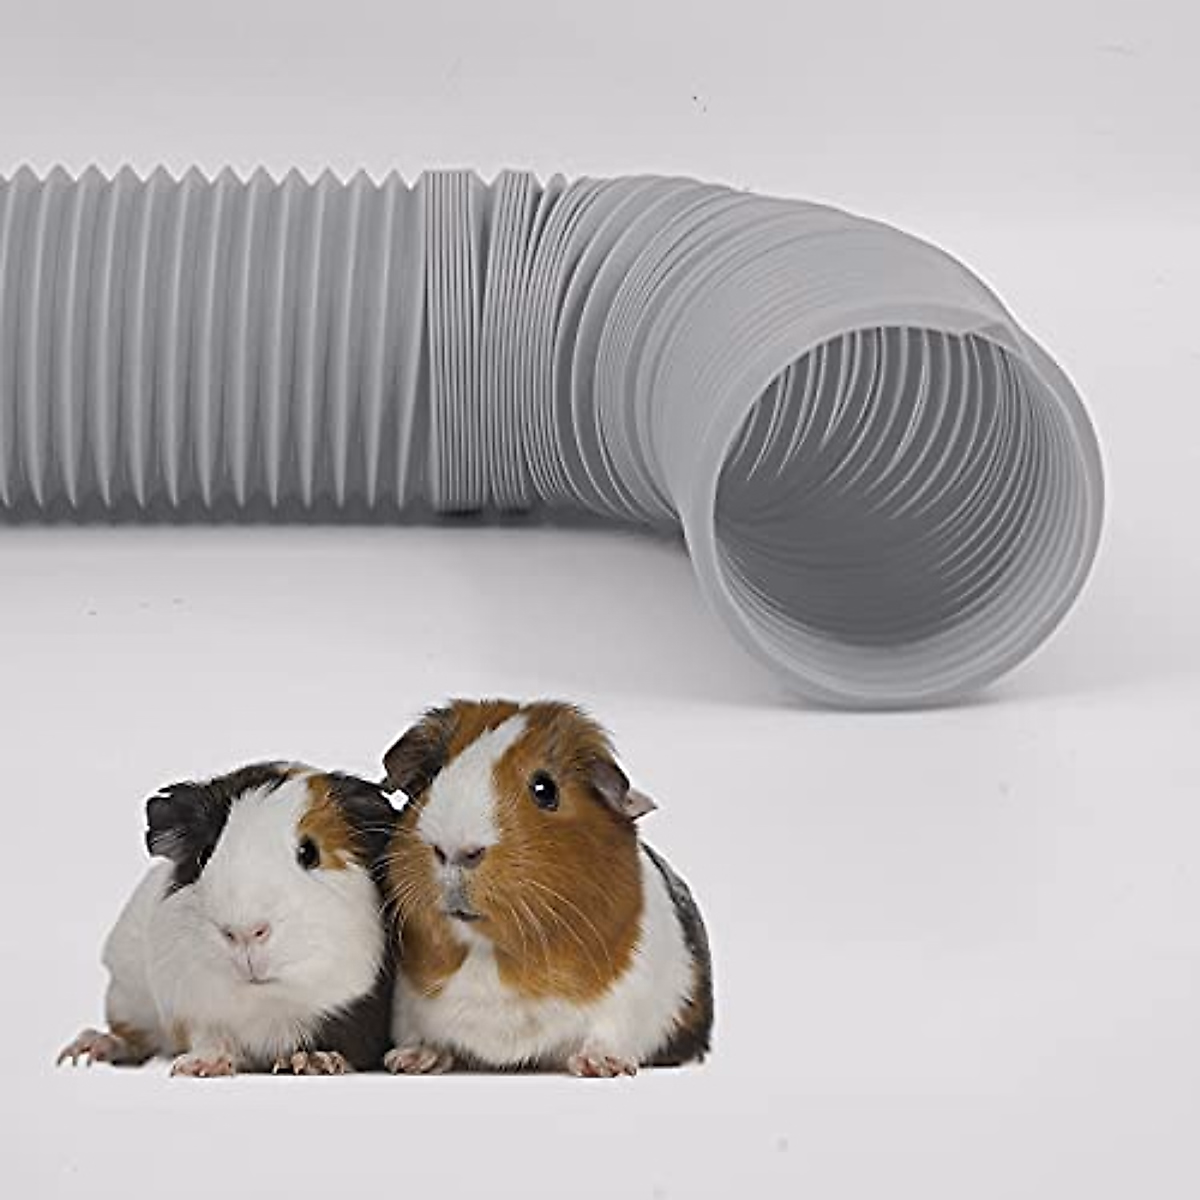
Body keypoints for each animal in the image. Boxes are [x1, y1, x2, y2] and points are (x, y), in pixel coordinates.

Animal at [57, 763, 398, 1076]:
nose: (244, 932)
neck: (266, 1008)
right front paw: (198, 1067)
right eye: (204, 855)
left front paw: (314, 1062)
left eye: (309, 852)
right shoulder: (194, 1010)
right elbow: (210, 1038)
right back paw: (83, 1051)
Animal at [379, 700, 713, 1077]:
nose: (454, 849)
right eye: (431, 776)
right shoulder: (407, 1004)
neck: (488, 955)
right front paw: (406, 1060)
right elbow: (421, 1035)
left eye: (545, 789)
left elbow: (607, 1033)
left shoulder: (630, 996)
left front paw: (600, 1066)